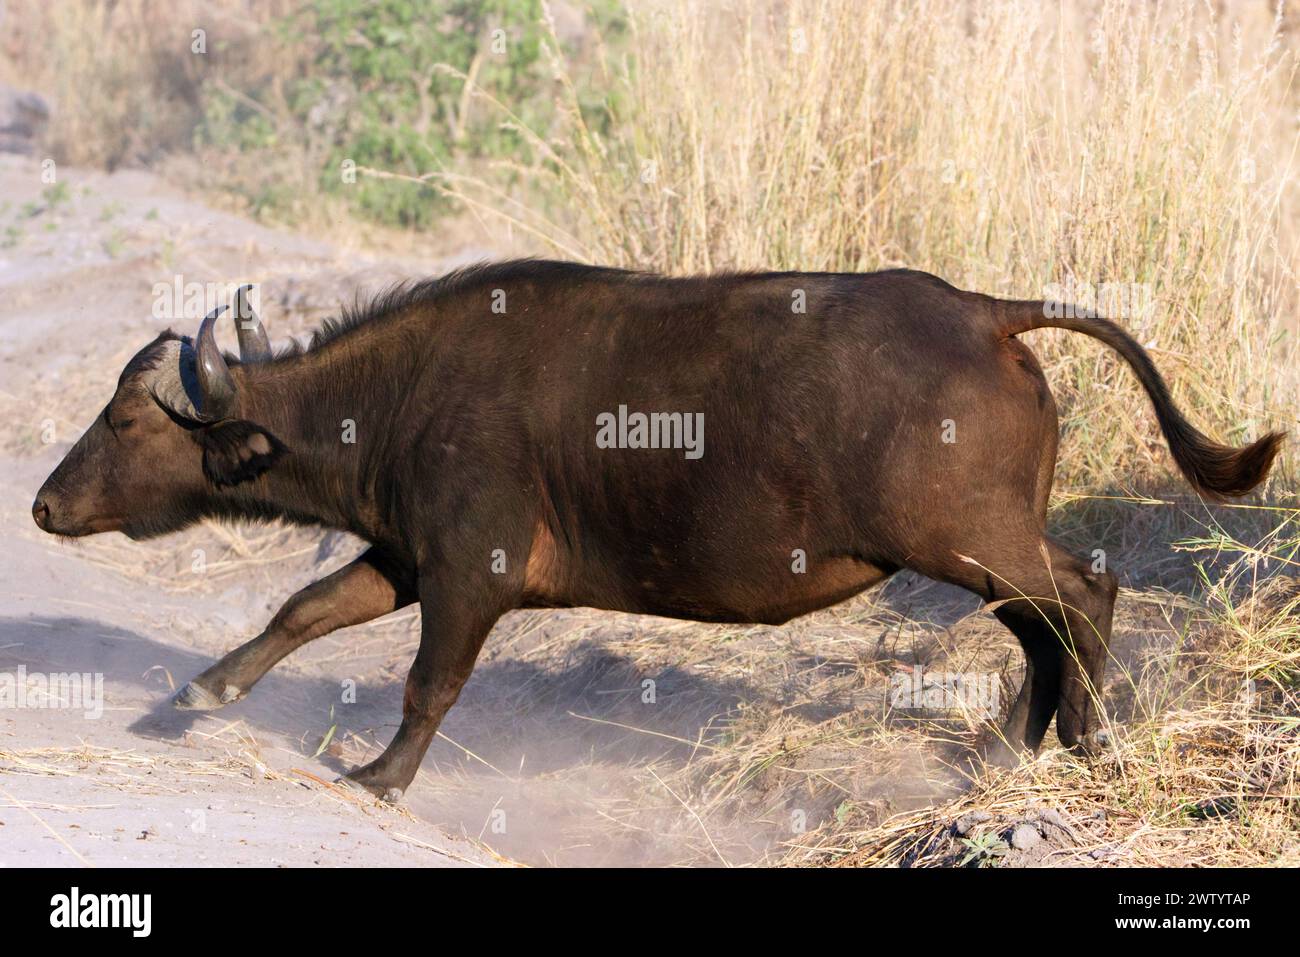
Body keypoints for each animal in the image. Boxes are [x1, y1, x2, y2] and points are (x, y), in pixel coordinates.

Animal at [32, 261, 1282, 799]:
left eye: (123, 419)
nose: (43, 504)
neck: (404, 391)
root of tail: (984, 314)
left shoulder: (470, 575)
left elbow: (428, 684)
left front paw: (379, 777)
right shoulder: (407, 558)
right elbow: (303, 610)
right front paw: (193, 697)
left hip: (965, 538)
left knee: (1082, 594)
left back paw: (1087, 741)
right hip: (972, 548)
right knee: (1040, 620)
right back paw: (1018, 747)